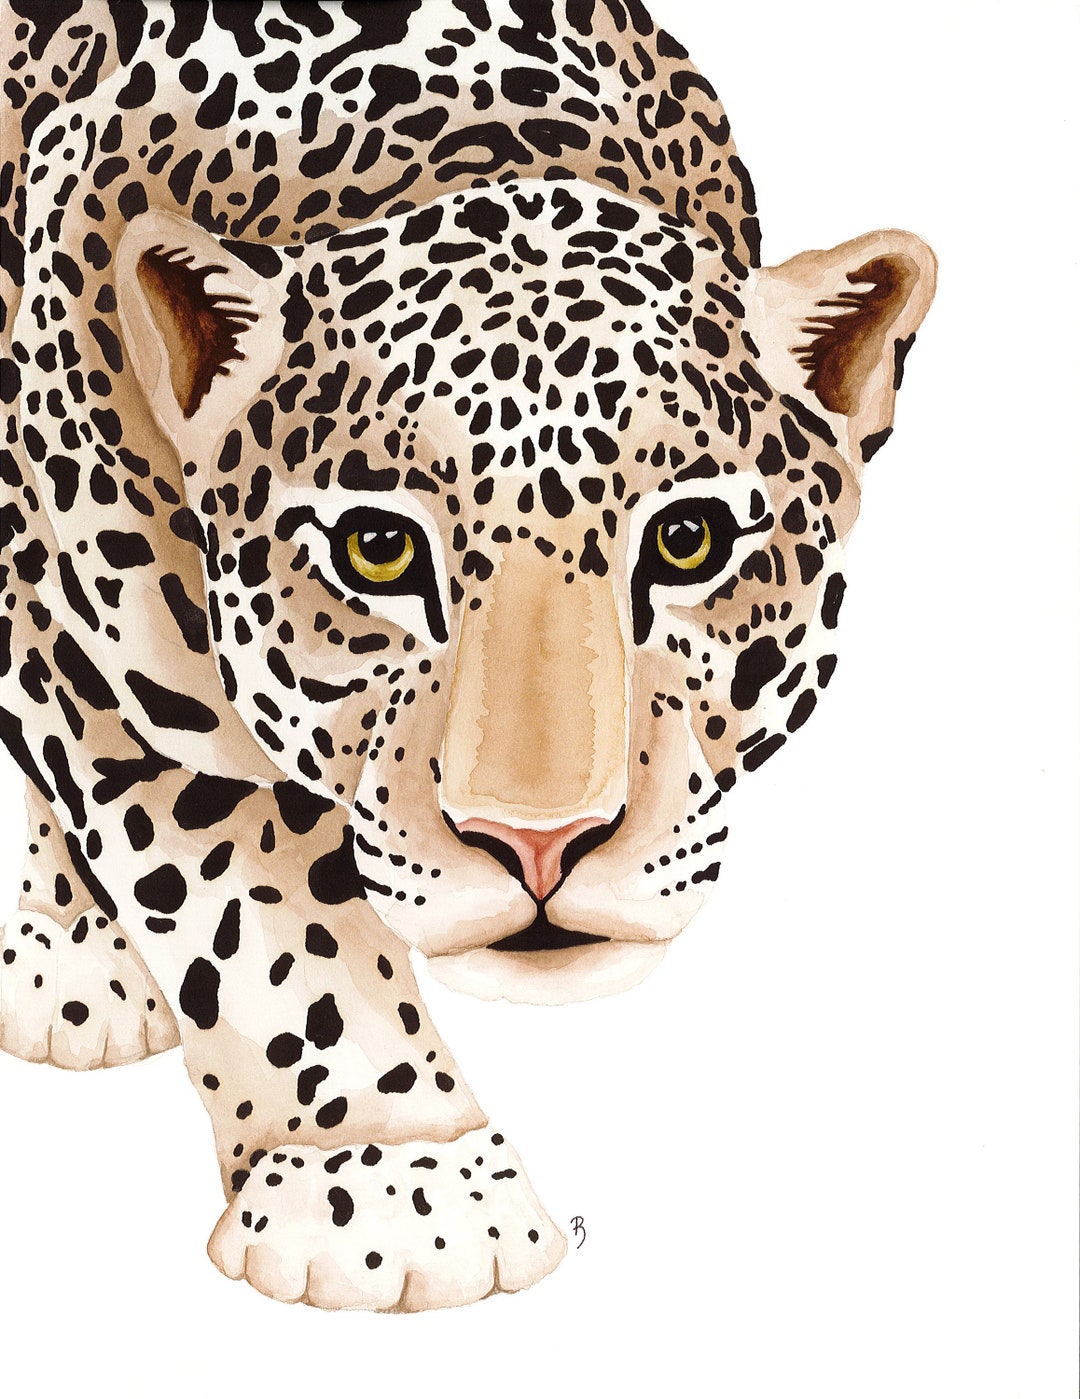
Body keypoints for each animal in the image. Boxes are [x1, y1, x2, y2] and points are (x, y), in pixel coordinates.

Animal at [0, 0, 935, 1312]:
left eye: (688, 539)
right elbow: (254, 916)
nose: (540, 842)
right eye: (378, 549)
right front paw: (393, 1187)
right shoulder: (91, 629)